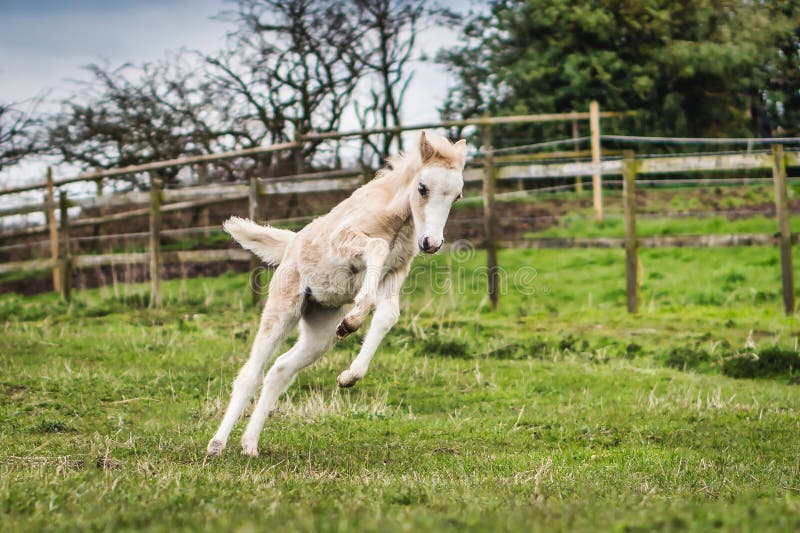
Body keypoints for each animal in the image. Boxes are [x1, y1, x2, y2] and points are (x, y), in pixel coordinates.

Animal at [207, 131, 467, 457]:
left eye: (457, 196)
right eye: (422, 187)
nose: (431, 243)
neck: (396, 220)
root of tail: (292, 243)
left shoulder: (394, 274)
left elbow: (388, 315)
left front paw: (349, 376)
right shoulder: (345, 243)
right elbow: (377, 248)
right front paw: (353, 321)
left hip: (320, 333)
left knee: (280, 370)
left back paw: (250, 444)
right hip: (283, 309)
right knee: (251, 373)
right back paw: (217, 445)